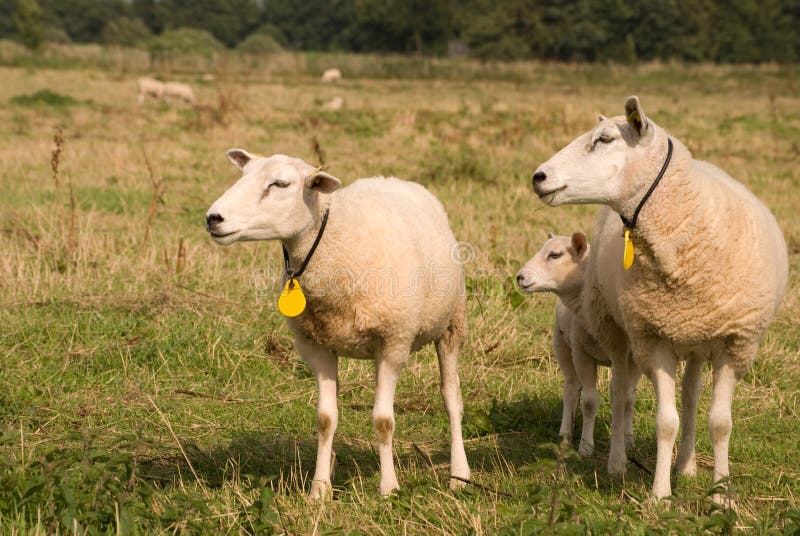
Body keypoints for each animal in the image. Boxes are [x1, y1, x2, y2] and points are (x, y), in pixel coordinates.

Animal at [205, 151, 470, 498]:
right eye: (243, 175)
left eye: (280, 184)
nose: (213, 218)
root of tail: (393, 179)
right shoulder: (314, 347)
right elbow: (325, 419)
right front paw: (319, 489)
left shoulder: (395, 342)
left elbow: (383, 421)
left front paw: (389, 489)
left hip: (452, 323)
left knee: (452, 397)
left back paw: (459, 475)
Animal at [517, 232, 640, 458]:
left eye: (555, 254)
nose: (520, 277)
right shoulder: (581, 353)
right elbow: (589, 402)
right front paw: (585, 447)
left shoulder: (633, 359)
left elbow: (628, 398)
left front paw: (627, 441)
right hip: (562, 346)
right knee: (571, 389)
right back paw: (565, 434)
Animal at [530, 95, 789, 501]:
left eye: (605, 139)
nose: (538, 177)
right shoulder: (653, 340)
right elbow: (665, 421)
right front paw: (659, 494)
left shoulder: (737, 344)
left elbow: (720, 422)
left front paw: (720, 495)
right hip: (618, 332)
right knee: (620, 392)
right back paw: (617, 462)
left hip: (696, 341)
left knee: (691, 397)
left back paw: (687, 465)